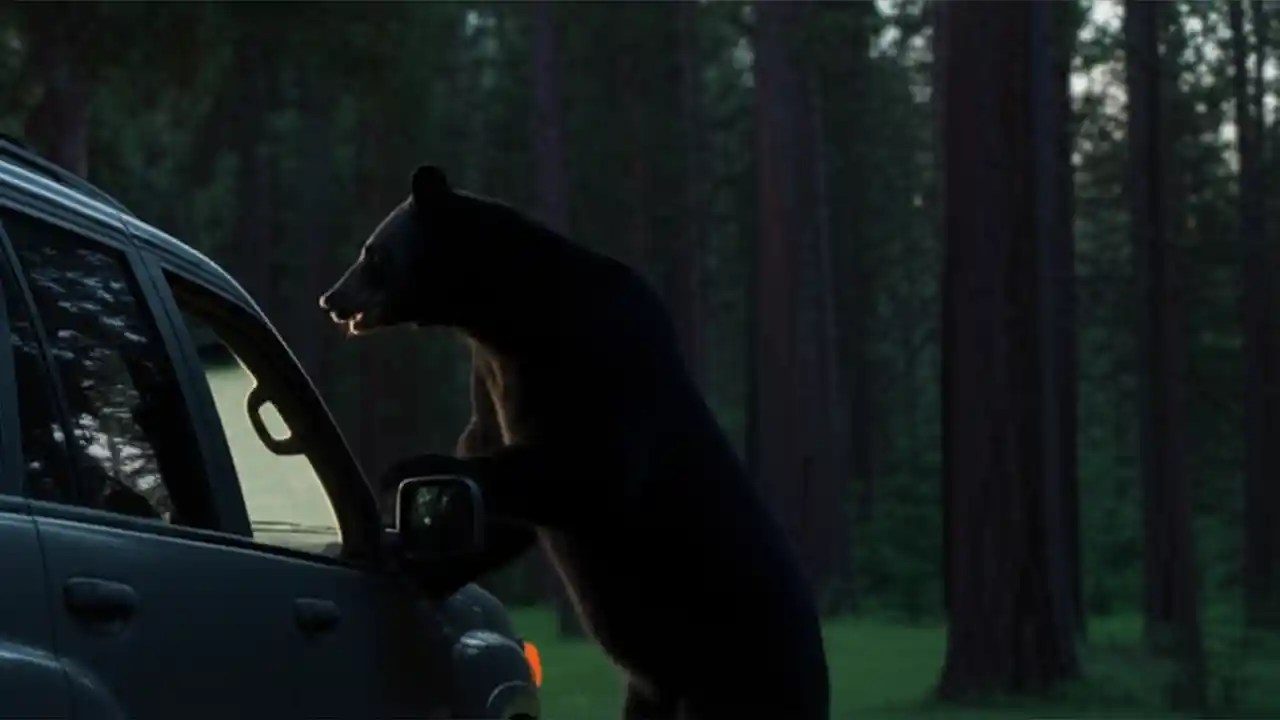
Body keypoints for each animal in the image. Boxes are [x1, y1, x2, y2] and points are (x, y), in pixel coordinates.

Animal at [319, 165, 830, 720]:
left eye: (372, 252)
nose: (331, 299)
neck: (505, 312)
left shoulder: (599, 345)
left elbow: (591, 465)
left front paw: (412, 469)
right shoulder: (490, 376)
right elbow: (501, 483)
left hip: (740, 670)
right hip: (655, 688)